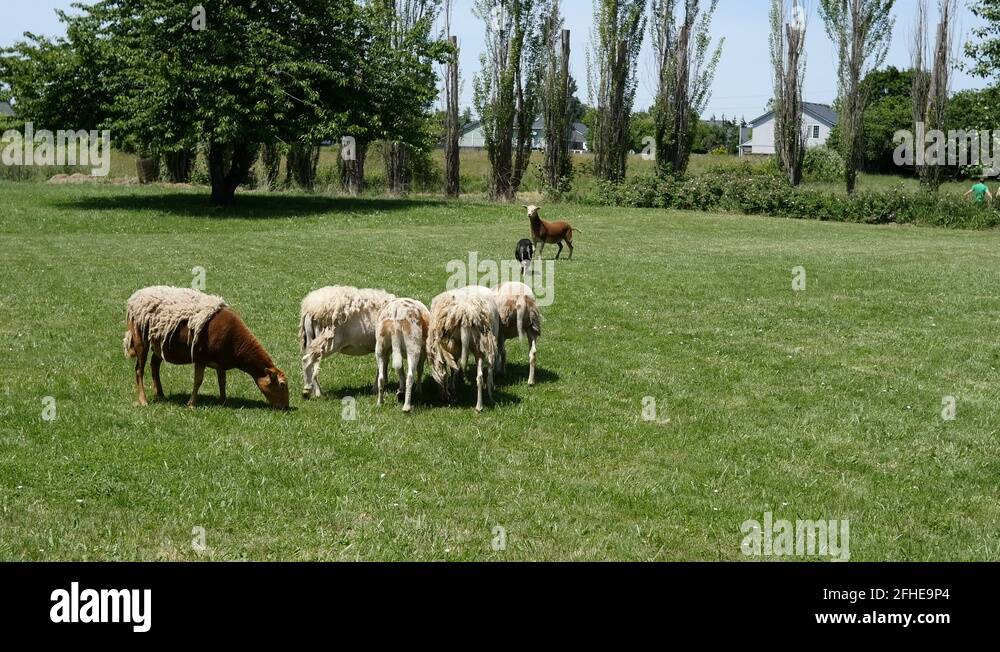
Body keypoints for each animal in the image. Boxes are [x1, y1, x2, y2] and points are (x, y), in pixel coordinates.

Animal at [123, 286, 289, 409]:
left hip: (160, 343)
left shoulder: (221, 361)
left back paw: (160, 394)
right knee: (139, 370)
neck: (236, 345)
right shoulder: (200, 357)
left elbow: (222, 381)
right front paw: (191, 404)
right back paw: (143, 400)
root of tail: (135, 297)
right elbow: (198, 380)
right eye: (282, 385)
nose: (285, 407)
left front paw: (223, 401)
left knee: (154, 365)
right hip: (140, 340)